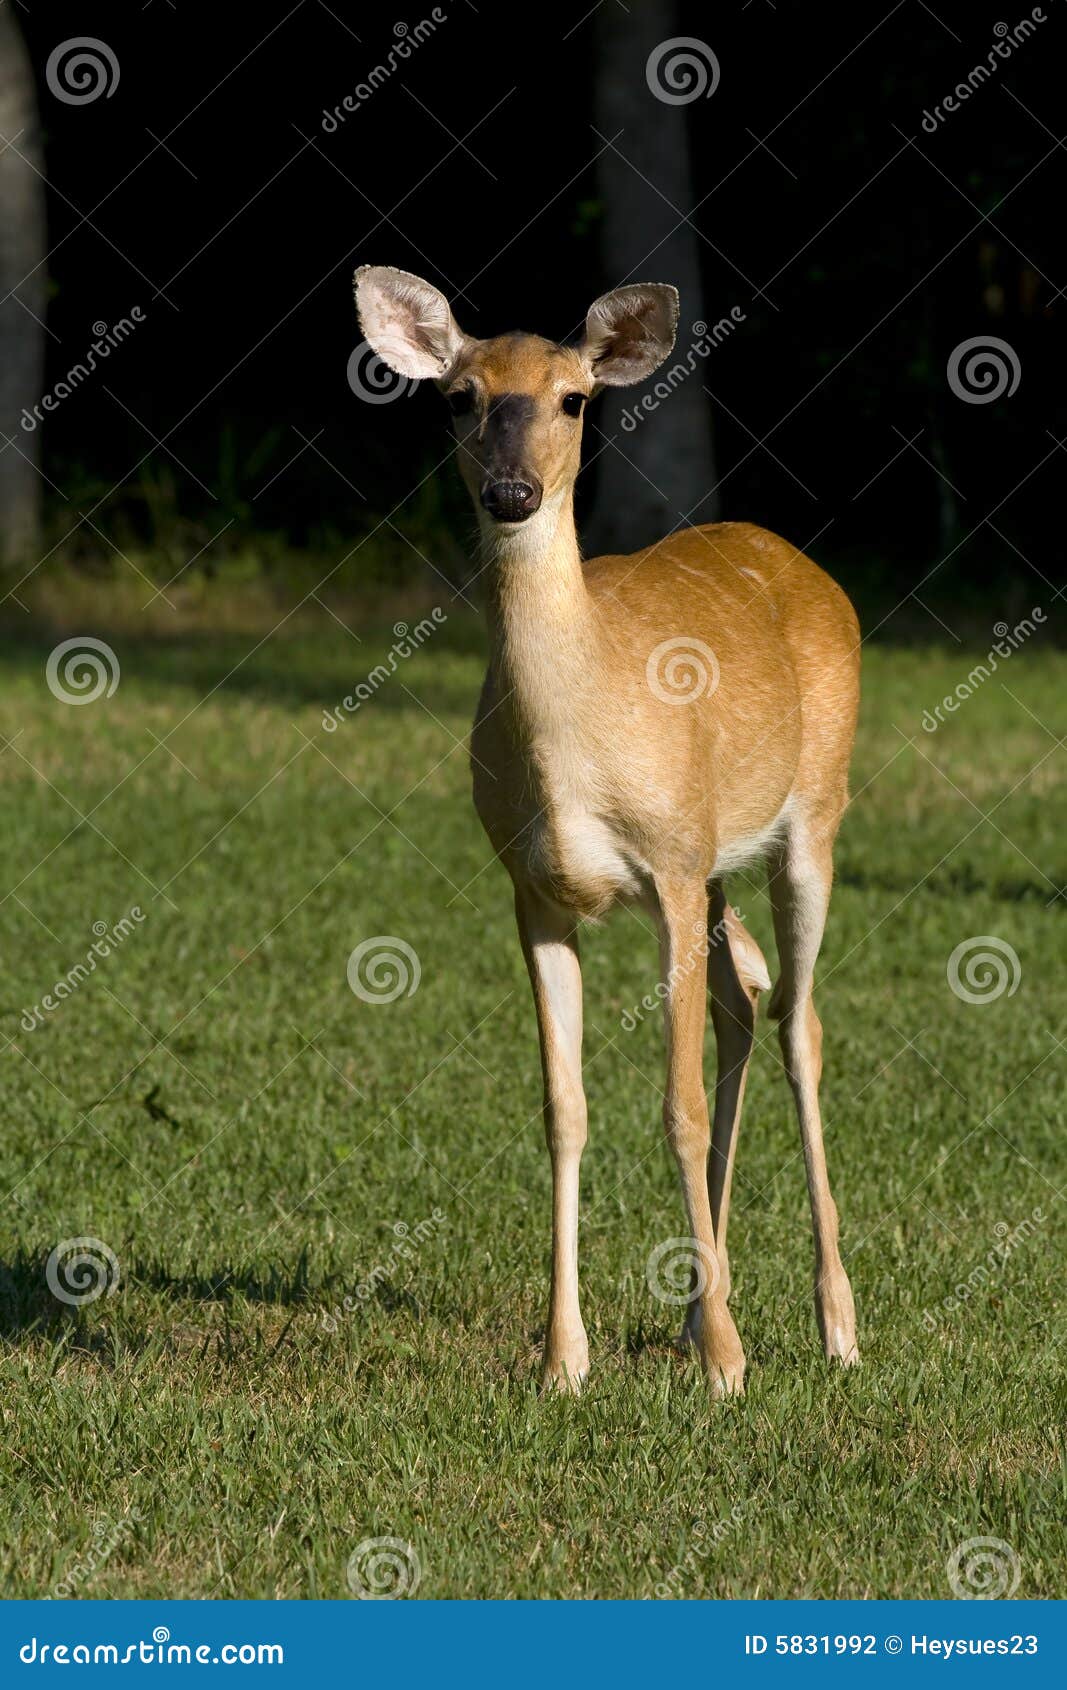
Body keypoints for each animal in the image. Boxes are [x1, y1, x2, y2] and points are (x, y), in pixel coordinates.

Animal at [354, 266, 860, 1396]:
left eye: (574, 399)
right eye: (456, 397)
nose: (510, 493)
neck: (573, 742)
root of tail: (797, 559)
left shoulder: (665, 869)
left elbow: (673, 1105)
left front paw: (726, 1365)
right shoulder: (535, 888)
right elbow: (563, 1109)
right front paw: (561, 1358)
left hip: (812, 814)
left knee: (797, 1021)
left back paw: (833, 1325)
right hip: (715, 855)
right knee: (743, 994)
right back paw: (695, 1307)